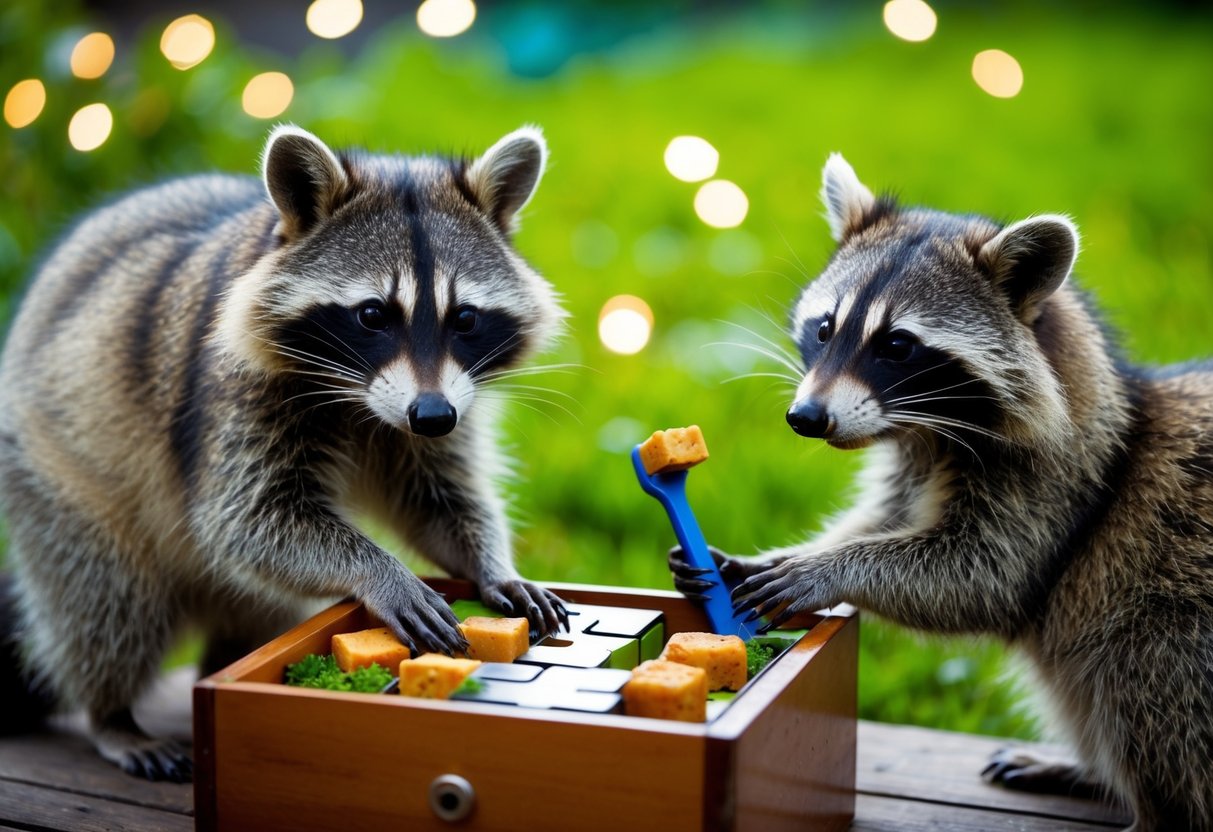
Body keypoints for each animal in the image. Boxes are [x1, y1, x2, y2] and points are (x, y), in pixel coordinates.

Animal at [0, 125, 569, 781]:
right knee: (104, 602)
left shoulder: (451, 401)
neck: (362, 401)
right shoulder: (232, 394)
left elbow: (438, 500)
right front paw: (379, 571)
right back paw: (111, 714)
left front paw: (492, 563)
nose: (431, 417)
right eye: (372, 314)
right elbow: (246, 520)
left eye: (466, 318)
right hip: (54, 470)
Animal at [674, 155, 1213, 831]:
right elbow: (889, 516)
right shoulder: (914, 458)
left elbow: (982, 575)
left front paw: (829, 567)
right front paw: (764, 557)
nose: (806, 418)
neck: (928, 429)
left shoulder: (1057, 486)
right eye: (824, 328)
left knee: (1145, 691)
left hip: (1170, 626)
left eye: (897, 345)